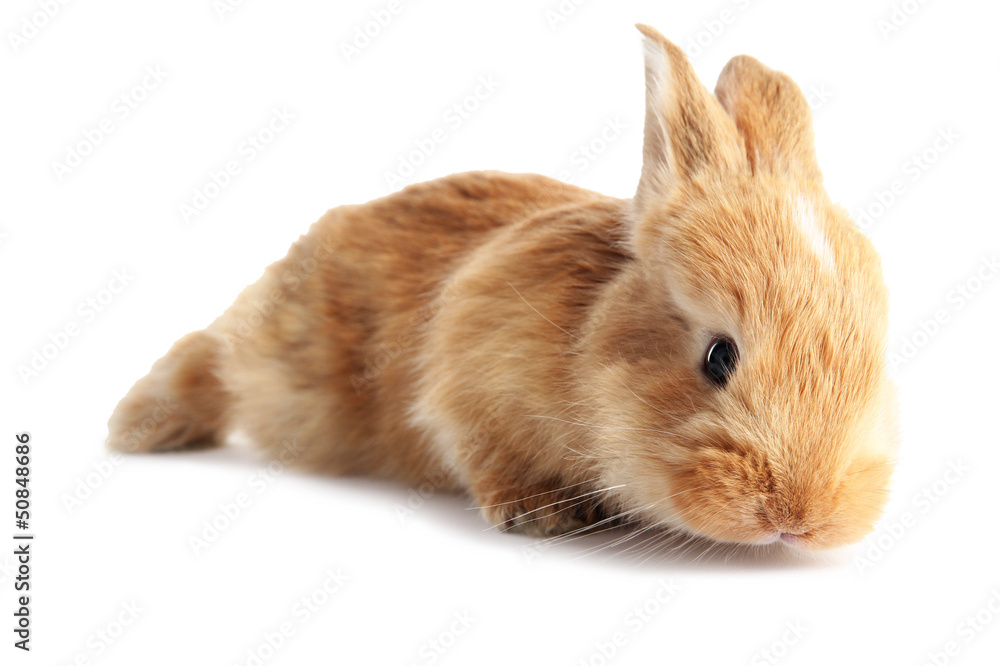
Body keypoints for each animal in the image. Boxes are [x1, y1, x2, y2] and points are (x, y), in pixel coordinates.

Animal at [107, 24, 898, 550]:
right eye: (718, 357)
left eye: (875, 365)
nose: (800, 517)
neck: (584, 338)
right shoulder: (468, 378)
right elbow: (480, 446)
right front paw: (544, 515)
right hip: (280, 362)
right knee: (210, 354)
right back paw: (140, 426)